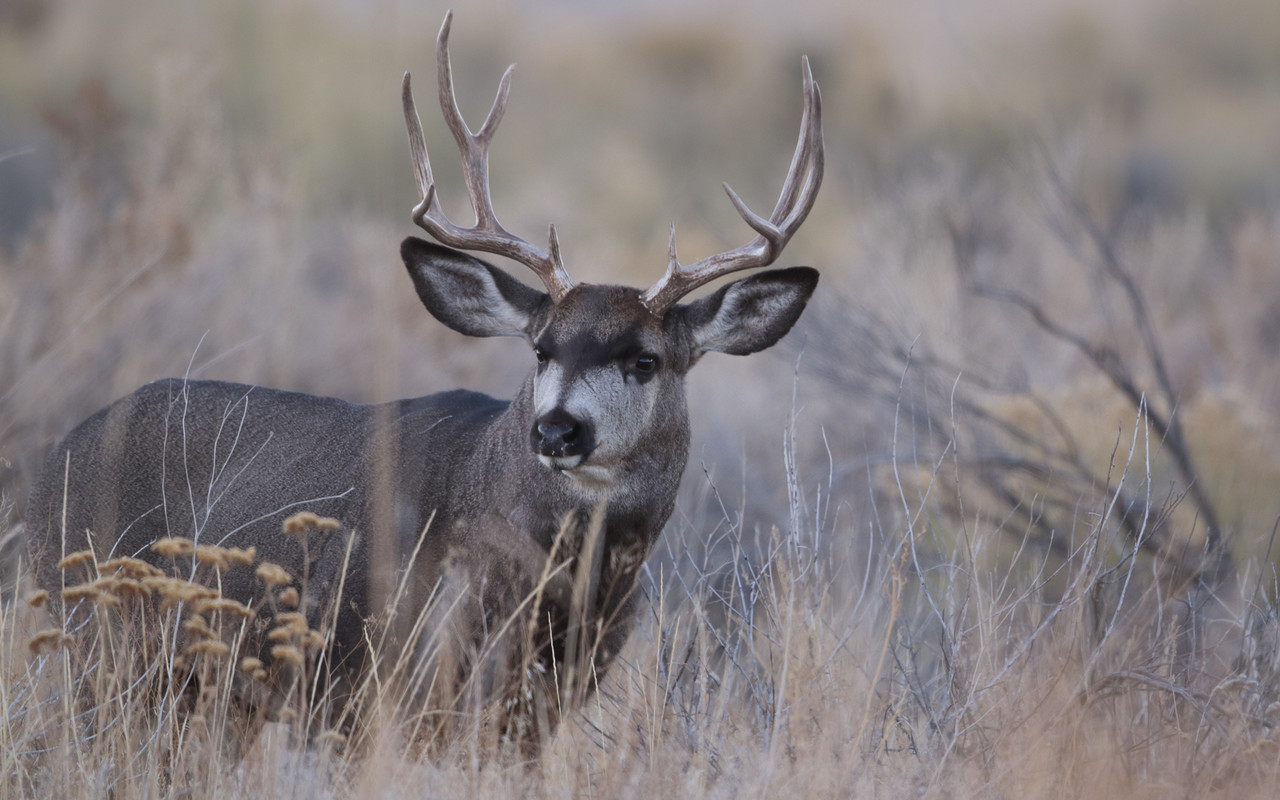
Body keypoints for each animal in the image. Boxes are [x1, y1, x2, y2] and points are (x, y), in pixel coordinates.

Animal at [25, 12, 822, 748]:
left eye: (645, 359)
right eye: (541, 349)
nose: (557, 429)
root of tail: (53, 460)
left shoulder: (542, 709)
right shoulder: (392, 688)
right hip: (92, 641)